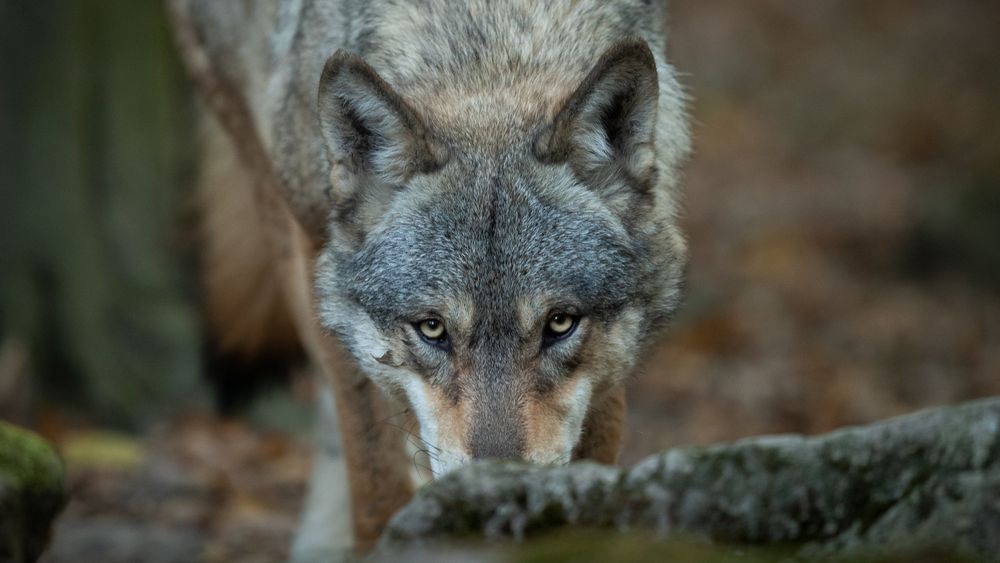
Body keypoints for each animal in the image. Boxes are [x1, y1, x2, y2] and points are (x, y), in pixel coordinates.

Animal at [169, 0, 690, 557]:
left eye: (560, 323)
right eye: (432, 329)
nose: (495, 491)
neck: (490, 42)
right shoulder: (309, 250)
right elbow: (375, 479)